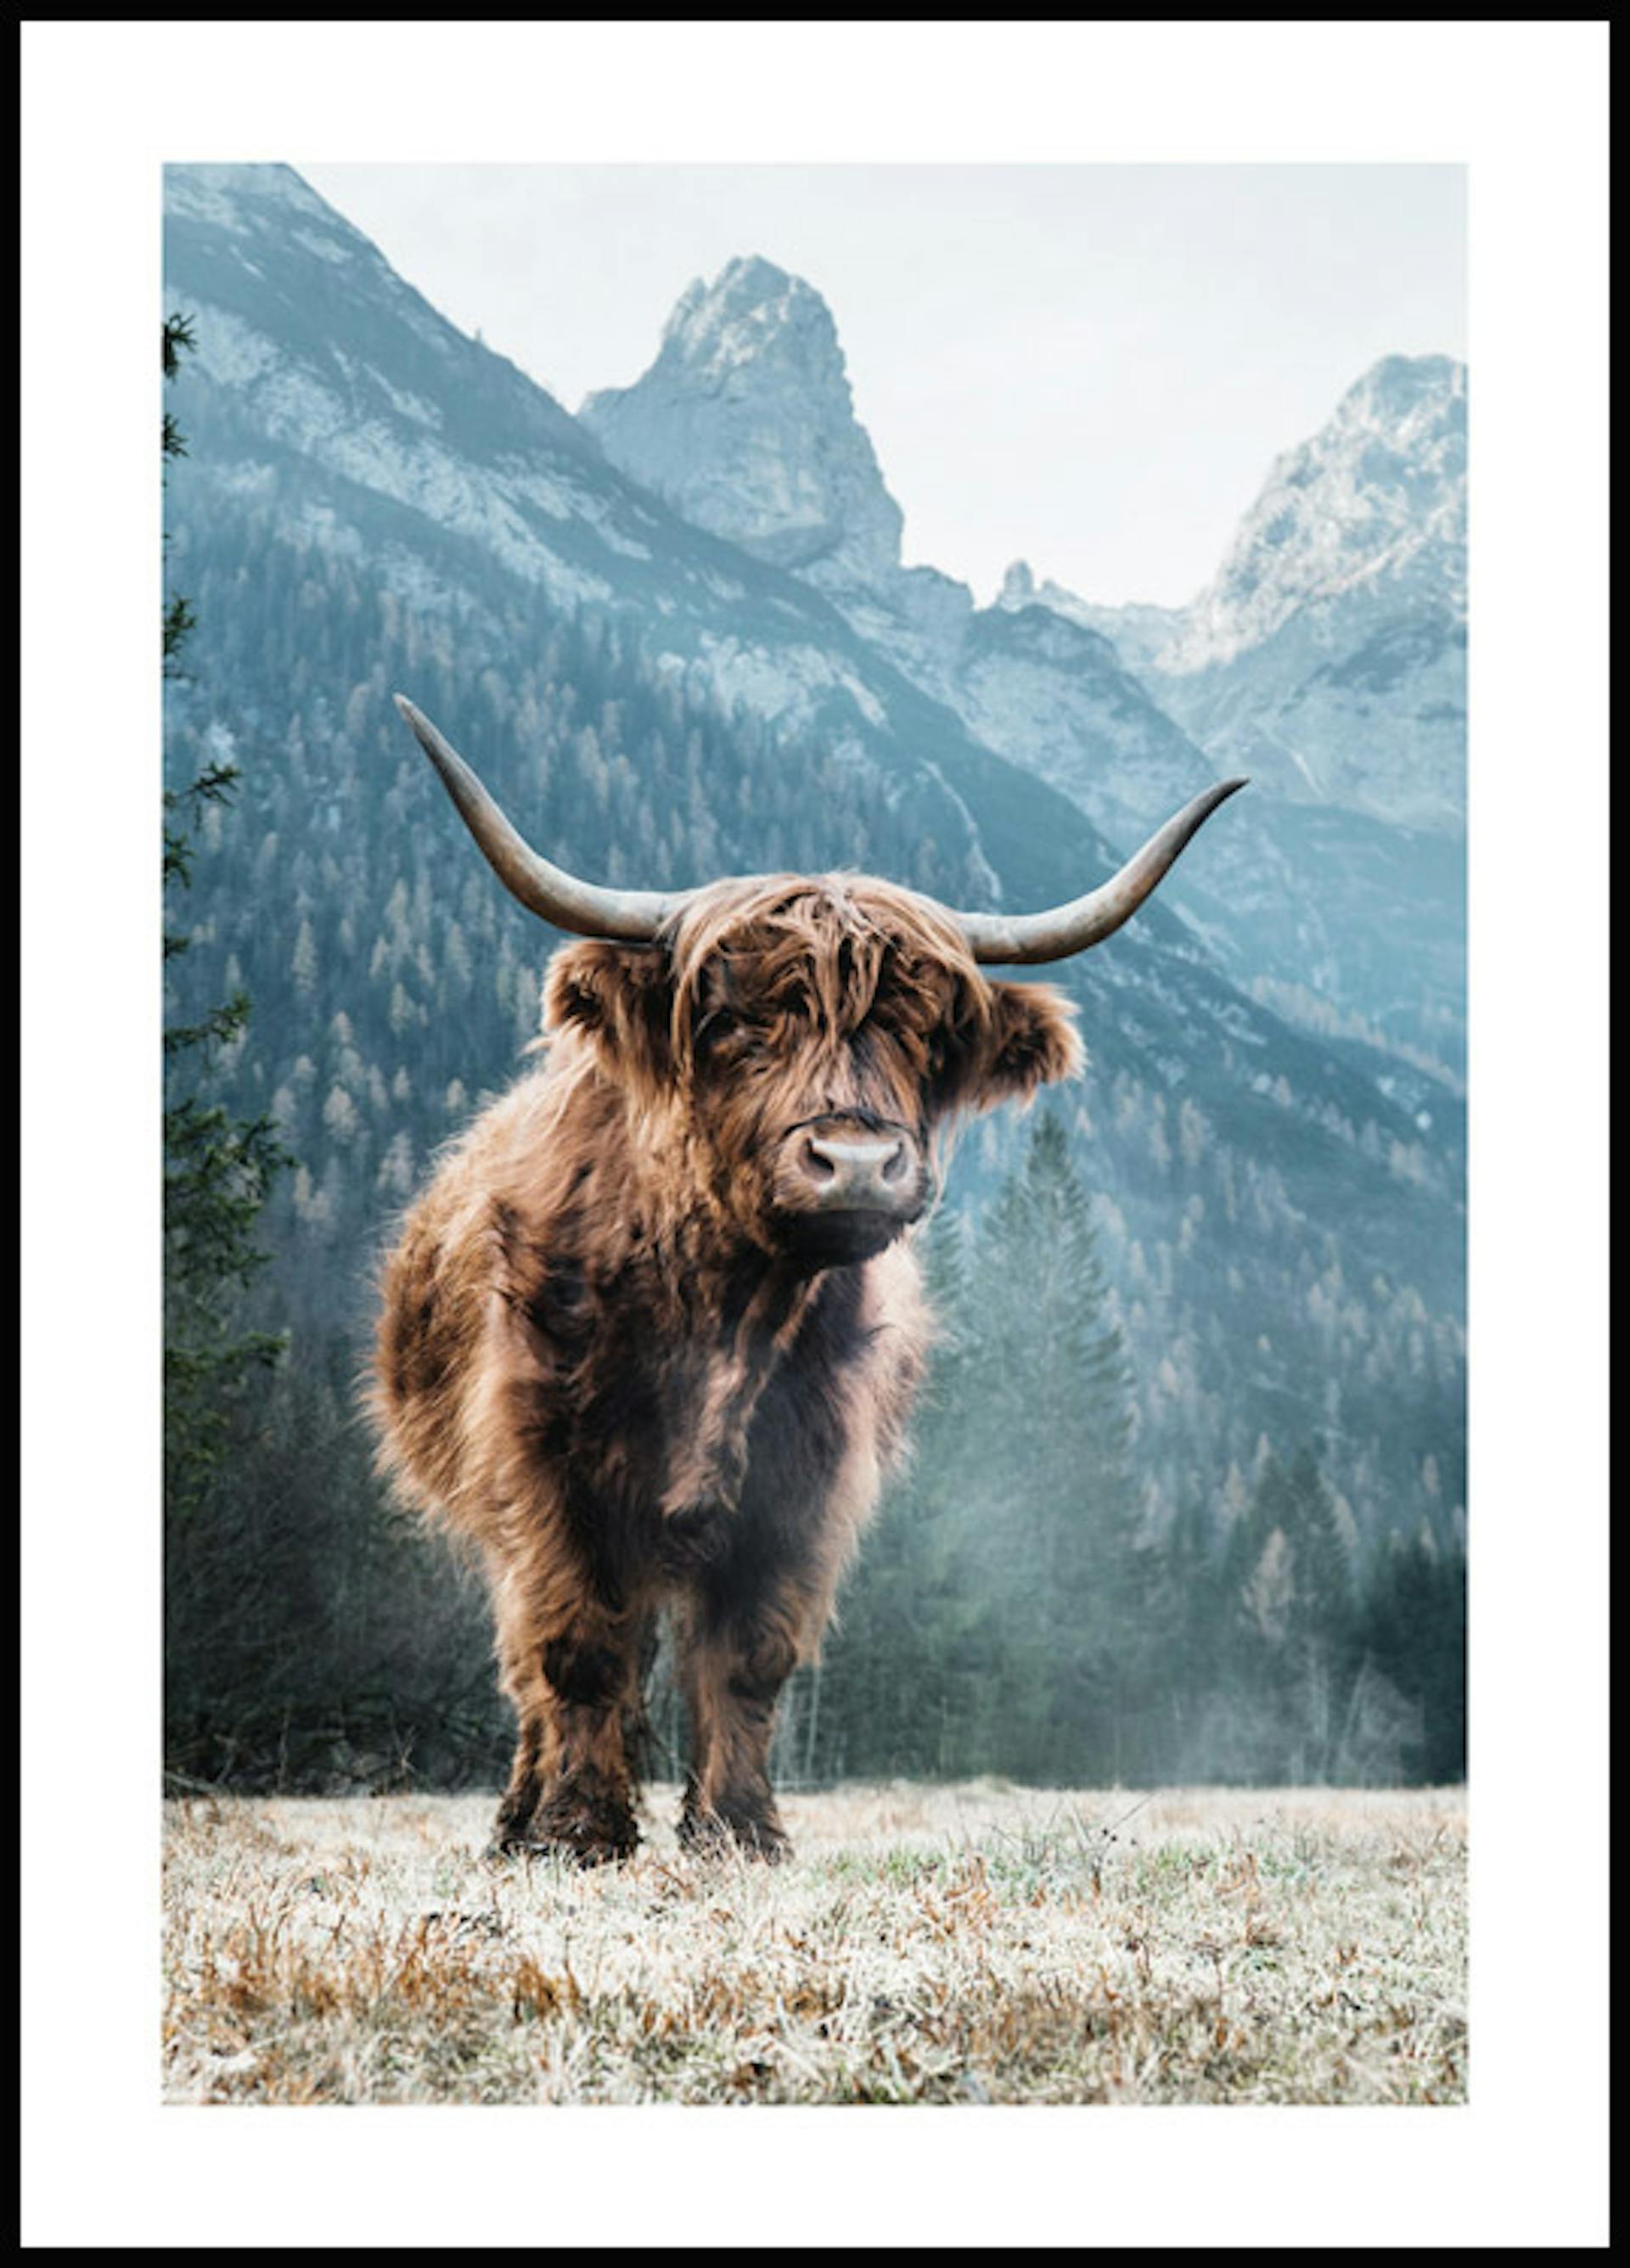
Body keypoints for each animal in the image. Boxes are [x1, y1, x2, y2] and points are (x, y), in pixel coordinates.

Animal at [372, 696, 1243, 1863]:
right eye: (732, 1021)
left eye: (926, 1032)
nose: (857, 1162)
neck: (723, 1309)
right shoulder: (545, 1469)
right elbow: (577, 1644)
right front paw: (580, 1830)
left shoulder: (805, 1486)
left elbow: (749, 1658)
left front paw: (740, 1830)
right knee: (534, 1662)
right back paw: (519, 1819)